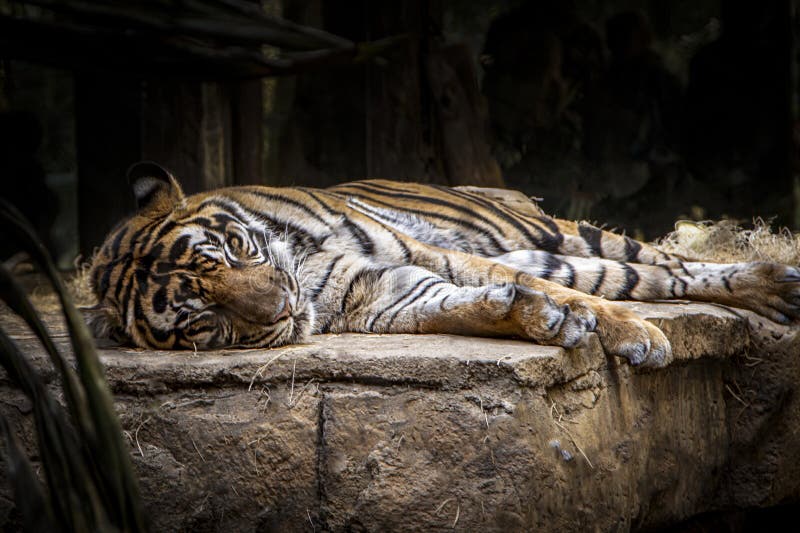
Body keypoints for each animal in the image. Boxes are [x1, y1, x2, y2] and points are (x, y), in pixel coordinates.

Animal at [85, 161, 800, 368]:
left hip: (548, 233)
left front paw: (635, 335)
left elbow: (561, 292)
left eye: (233, 249)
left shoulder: (415, 254)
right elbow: (459, 305)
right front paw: (535, 320)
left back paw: (774, 286)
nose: (284, 306)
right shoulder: (380, 294)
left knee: (657, 268)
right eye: (203, 322)